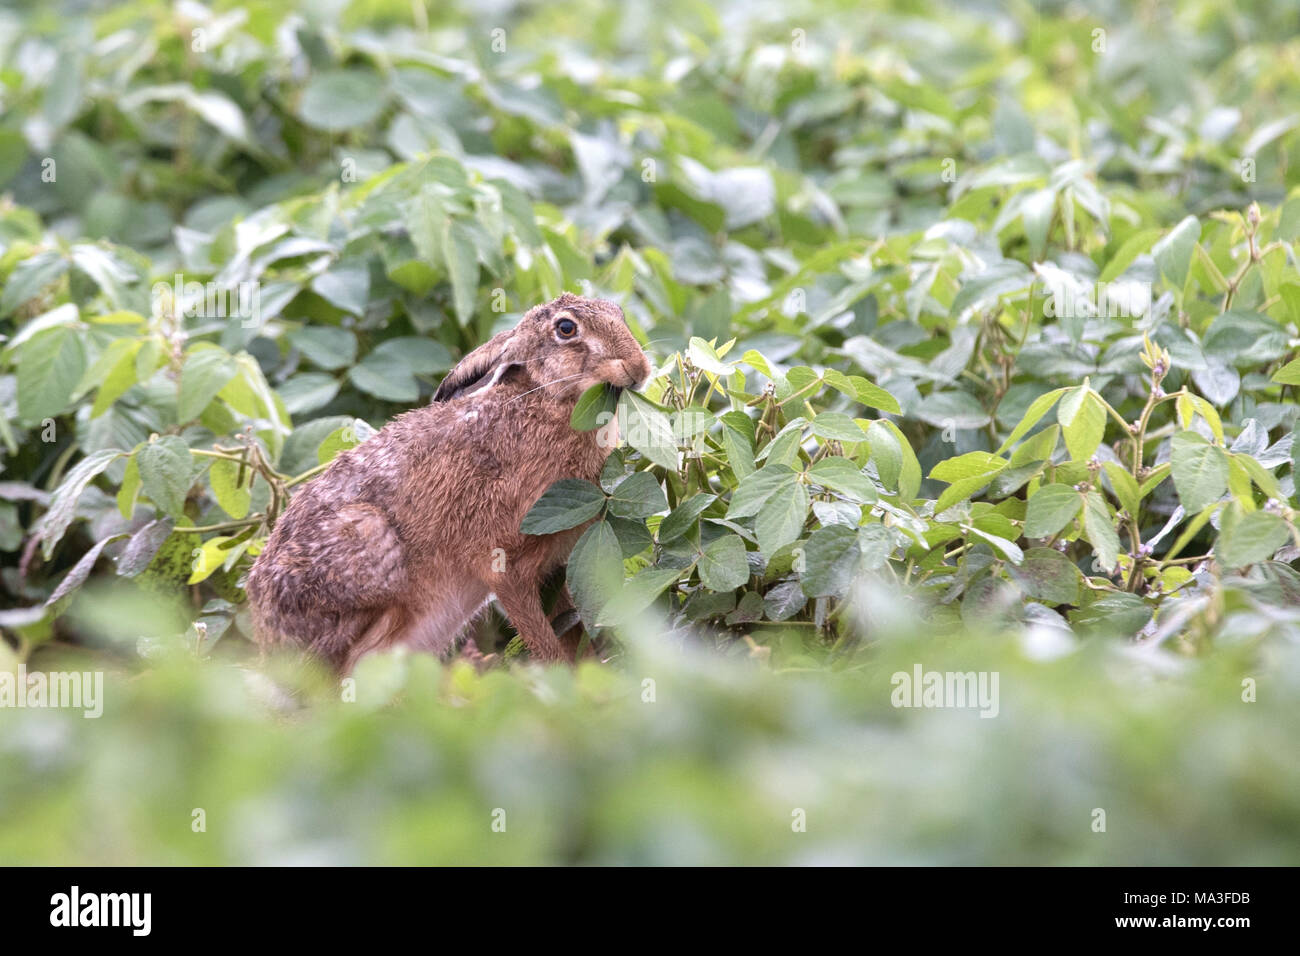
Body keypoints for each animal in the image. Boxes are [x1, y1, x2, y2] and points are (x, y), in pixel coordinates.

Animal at [245, 292, 652, 673]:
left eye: (617, 311)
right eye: (566, 329)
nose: (639, 366)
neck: (547, 398)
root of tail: (265, 633)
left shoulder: (554, 566)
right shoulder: (503, 563)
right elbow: (542, 639)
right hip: (368, 547)